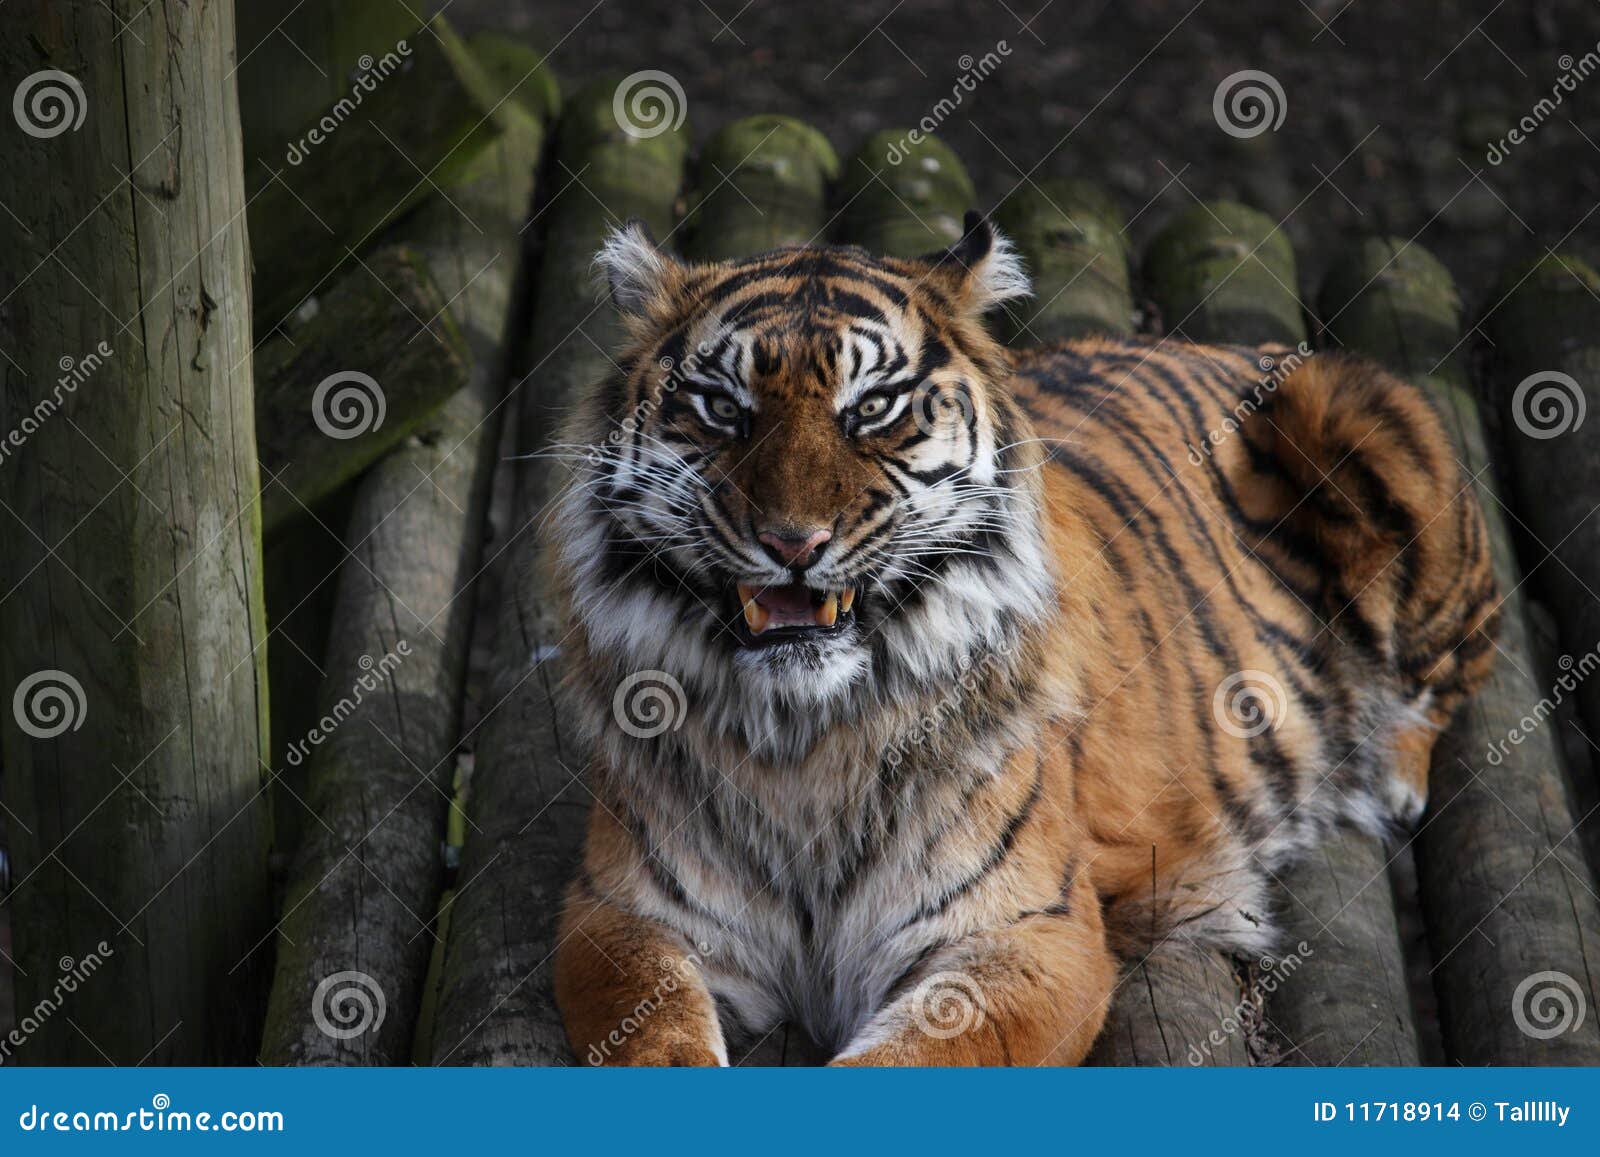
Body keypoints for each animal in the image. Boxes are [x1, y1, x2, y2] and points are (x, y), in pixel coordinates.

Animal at [547, 211, 1498, 1066]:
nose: (792, 541)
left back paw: (1389, 774)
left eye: (874, 407)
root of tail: (1247, 348)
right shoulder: (621, 914)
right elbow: (659, 1043)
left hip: (1365, 420)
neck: (806, 739)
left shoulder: (1031, 933)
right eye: (721, 407)